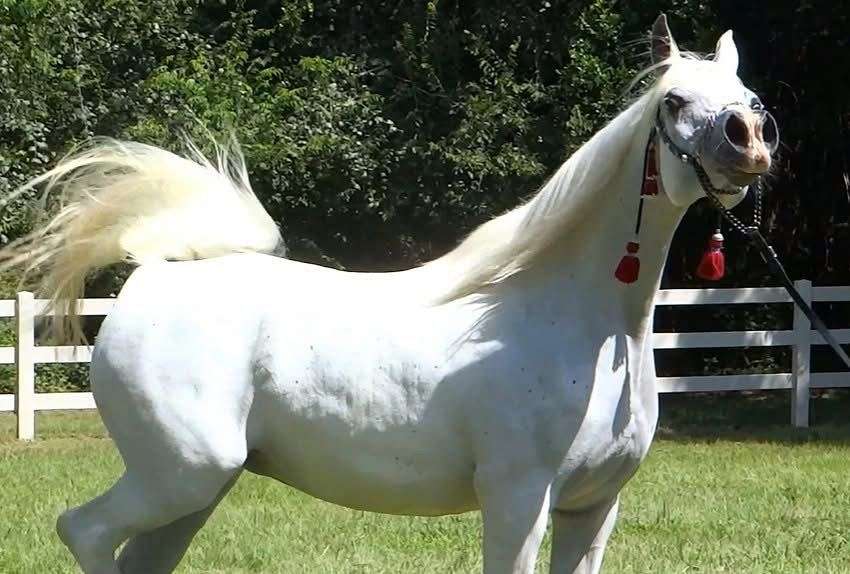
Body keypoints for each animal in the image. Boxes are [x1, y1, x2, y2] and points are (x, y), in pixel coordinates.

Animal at [2, 14, 778, 574]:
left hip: (192, 491)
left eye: (748, 100)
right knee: (84, 532)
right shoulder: (518, 500)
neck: (584, 325)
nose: (748, 144)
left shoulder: (593, 510)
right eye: (674, 102)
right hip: (182, 476)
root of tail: (155, 273)